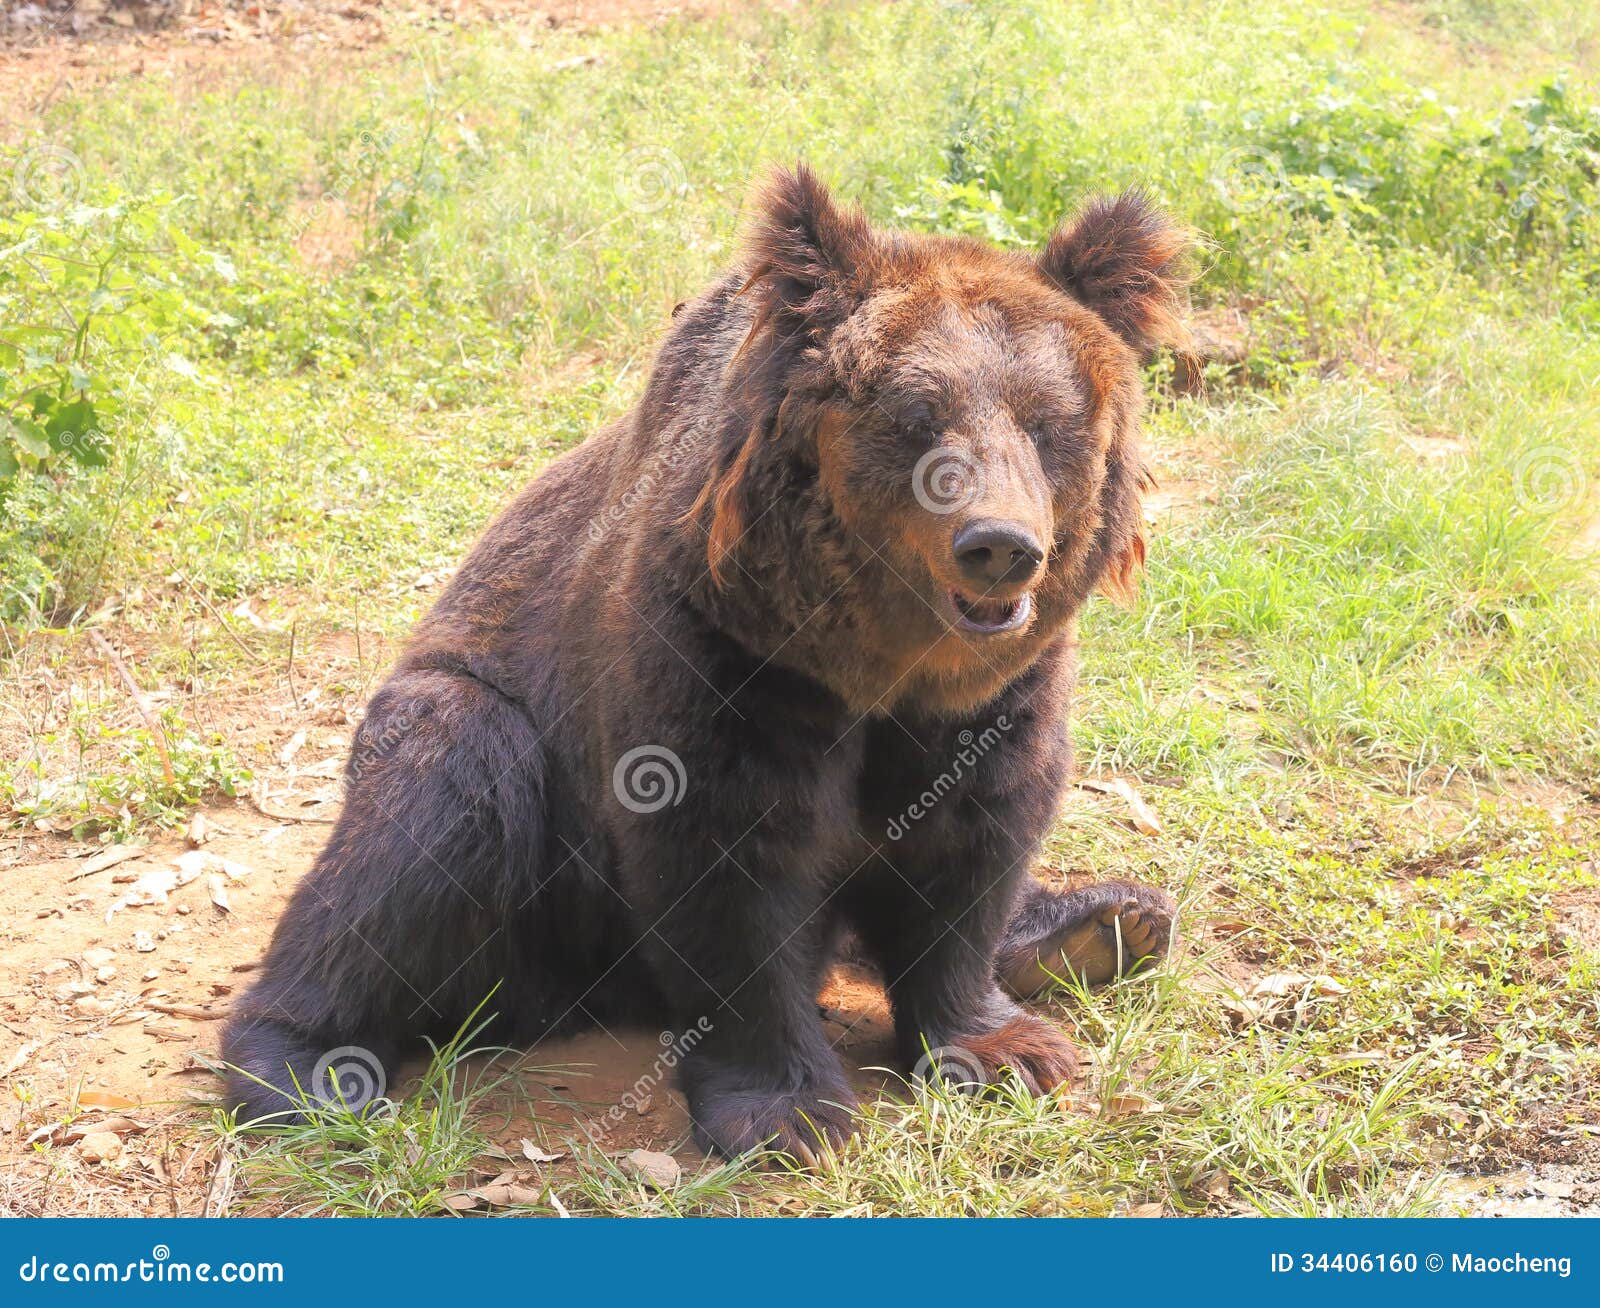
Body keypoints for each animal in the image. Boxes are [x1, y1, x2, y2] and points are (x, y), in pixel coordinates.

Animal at [221, 164, 1185, 1162]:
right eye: (918, 418)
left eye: (1047, 422)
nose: (998, 546)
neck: (881, 666)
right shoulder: (728, 661)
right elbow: (727, 869)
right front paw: (787, 1108)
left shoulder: (988, 702)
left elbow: (974, 847)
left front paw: (1004, 1047)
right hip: (505, 799)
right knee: (428, 817)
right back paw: (305, 1064)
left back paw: (1104, 923)